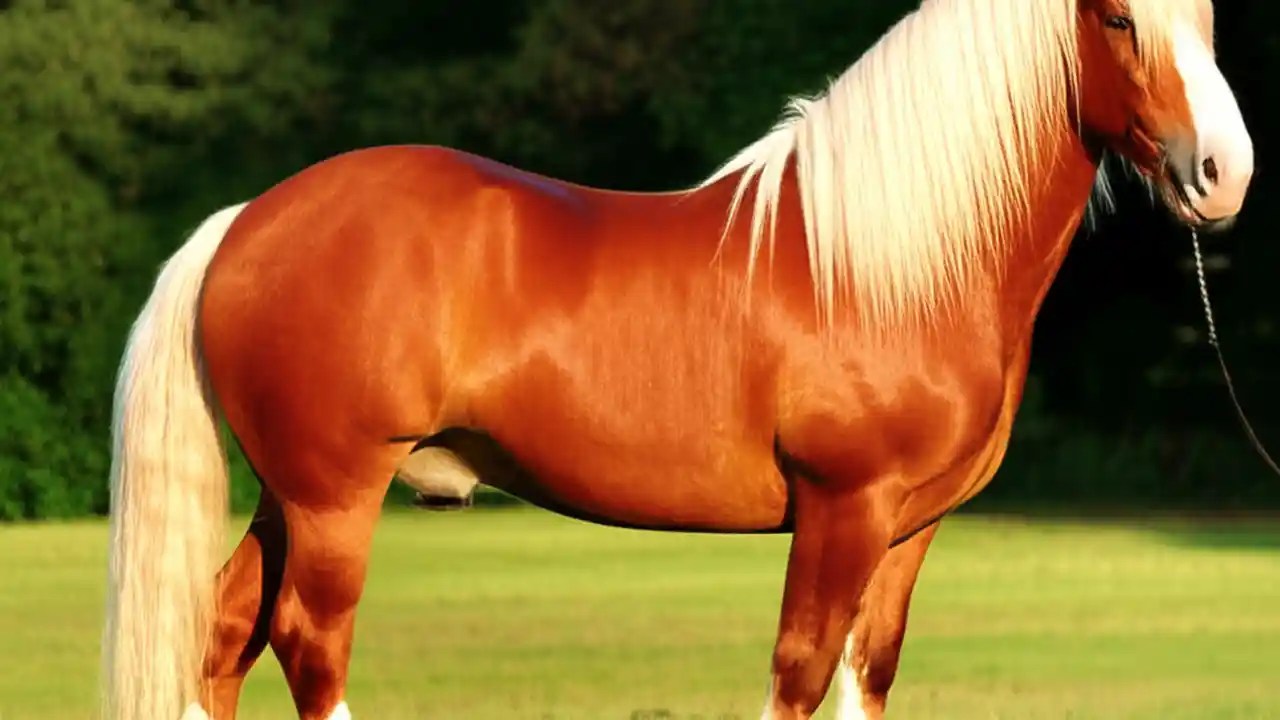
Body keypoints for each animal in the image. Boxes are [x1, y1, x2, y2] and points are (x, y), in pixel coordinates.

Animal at [100, 0, 1252, 718]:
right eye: (1116, 18)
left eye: (1203, 16)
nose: (1222, 173)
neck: (888, 260)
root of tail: (248, 220)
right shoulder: (842, 511)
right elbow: (797, 675)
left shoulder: (907, 530)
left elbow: (864, 676)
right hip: (336, 496)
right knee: (309, 645)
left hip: (287, 497)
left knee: (221, 633)